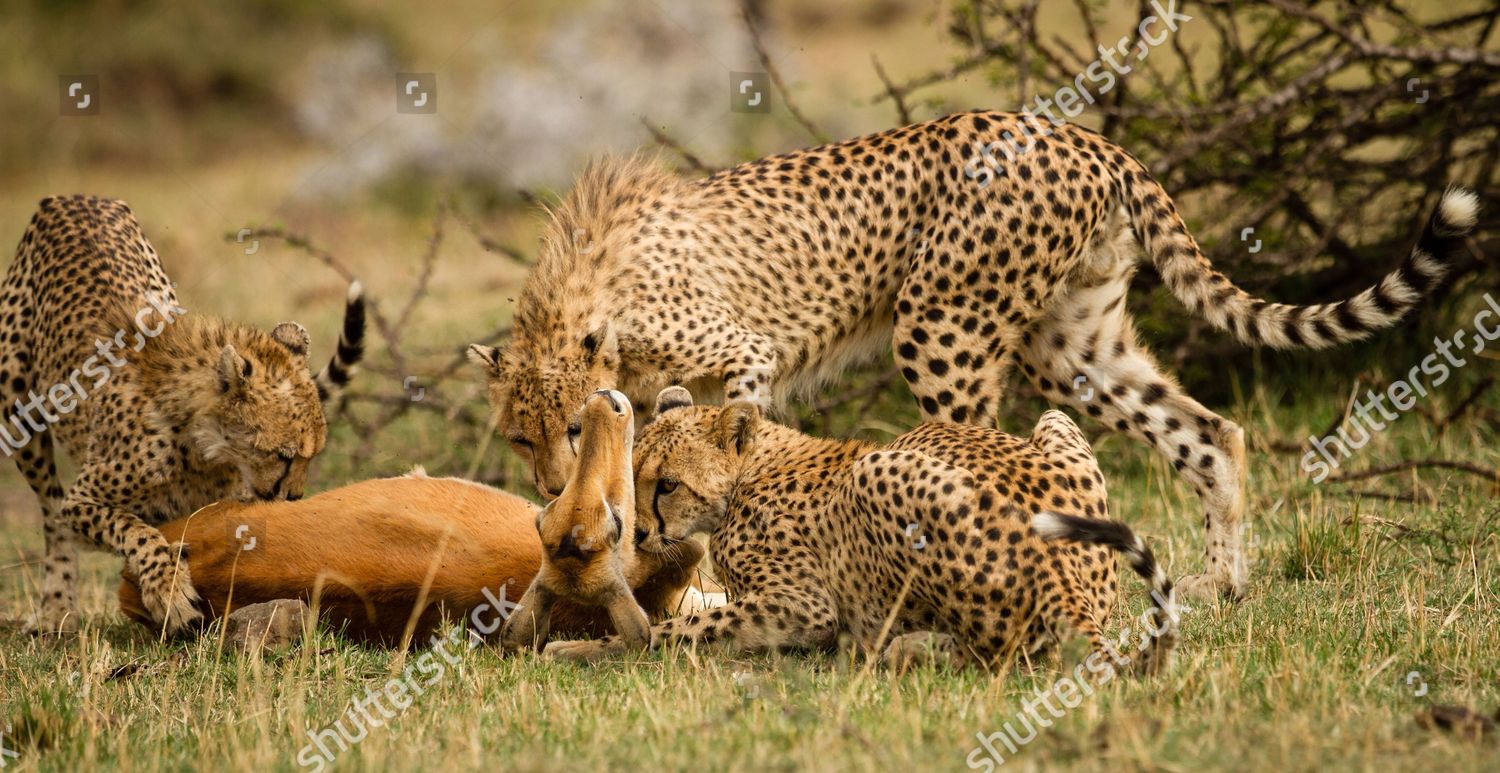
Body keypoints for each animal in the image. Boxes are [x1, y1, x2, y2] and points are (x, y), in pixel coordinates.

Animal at [2, 194, 366, 636]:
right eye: (283, 455)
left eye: (311, 455)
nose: (294, 498)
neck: (201, 445)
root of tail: (73, 198)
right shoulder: (82, 501)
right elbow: (135, 531)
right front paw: (169, 593)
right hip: (15, 404)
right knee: (51, 515)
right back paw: (58, 609)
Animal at [467, 109, 1479, 601]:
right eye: (520, 439)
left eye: (567, 429)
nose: (547, 485)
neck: (582, 296)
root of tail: (1089, 137)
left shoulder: (744, 353)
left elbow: (727, 454)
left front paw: (702, 572)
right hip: (1071, 345)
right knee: (1210, 432)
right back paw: (1226, 584)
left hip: (941, 325)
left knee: (984, 448)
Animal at [542, 386, 1178, 674]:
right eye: (635, 475)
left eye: (668, 484)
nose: (639, 536)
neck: (750, 471)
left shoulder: (803, 606)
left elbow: (664, 632)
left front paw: (579, 647)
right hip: (1055, 420)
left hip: (879, 469)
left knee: (998, 651)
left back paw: (904, 646)